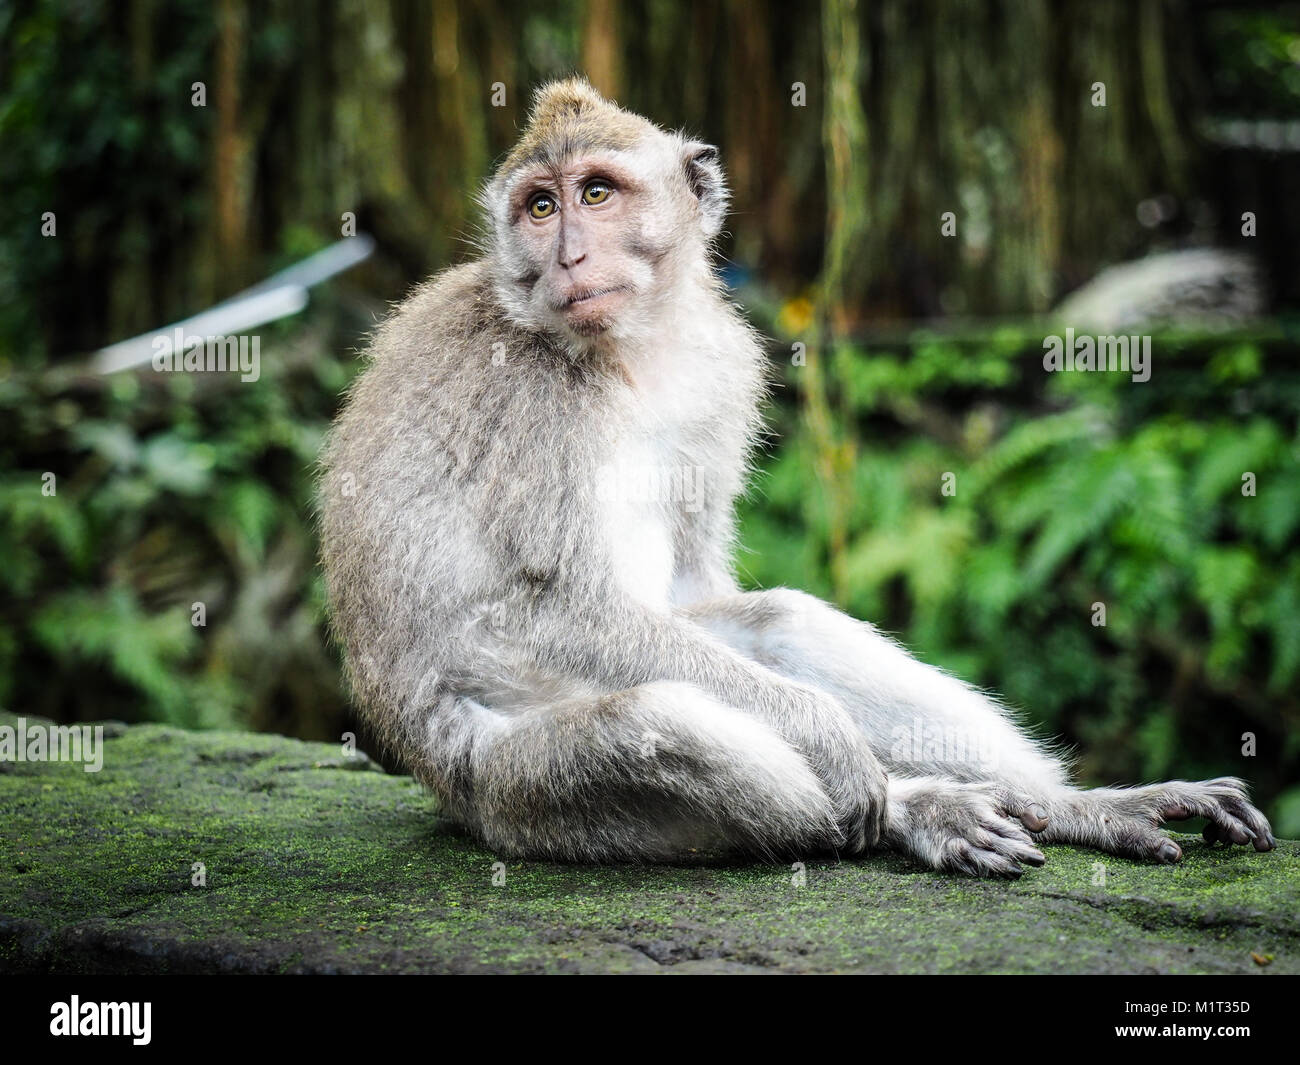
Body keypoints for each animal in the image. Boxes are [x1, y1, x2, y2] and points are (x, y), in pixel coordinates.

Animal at [317, 77, 1279, 873]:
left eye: (595, 193)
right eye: (539, 205)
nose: (567, 258)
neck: (629, 349)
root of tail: (442, 787)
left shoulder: (725, 366)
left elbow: (696, 585)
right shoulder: (525, 394)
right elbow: (553, 605)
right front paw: (840, 746)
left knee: (779, 624)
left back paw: (1074, 806)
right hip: (512, 788)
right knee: (653, 725)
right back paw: (916, 810)